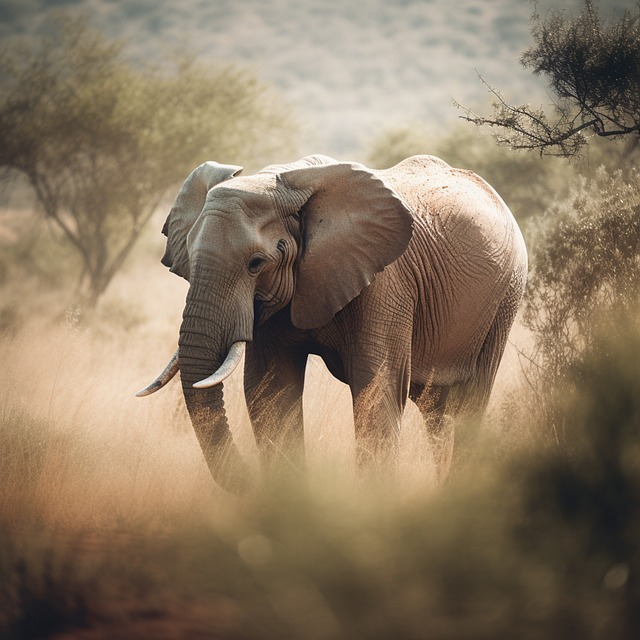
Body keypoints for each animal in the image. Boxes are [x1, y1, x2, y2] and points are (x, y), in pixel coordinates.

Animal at [137, 154, 527, 493]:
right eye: (189, 258)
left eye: (256, 263)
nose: (252, 483)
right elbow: (271, 392)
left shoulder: (386, 282)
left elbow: (377, 390)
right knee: (438, 409)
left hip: (506, 295)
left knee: (470, 401)